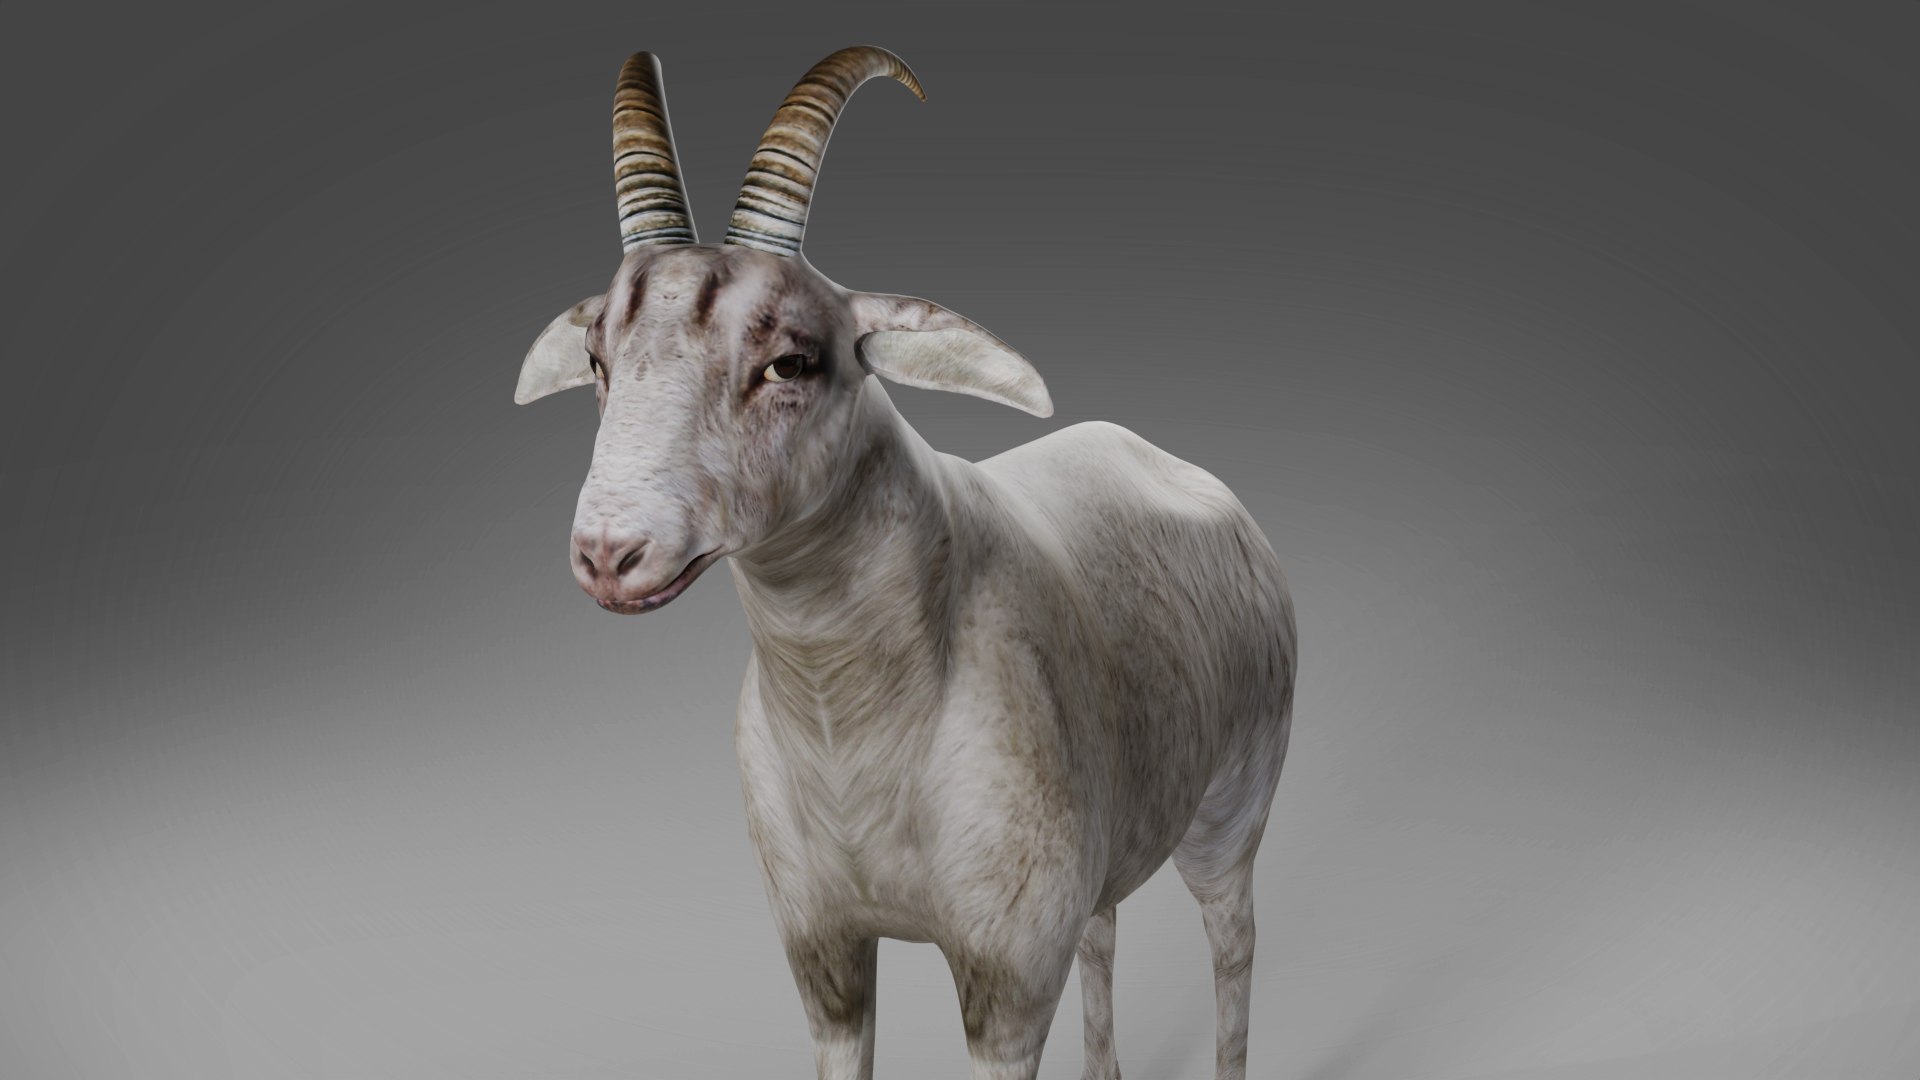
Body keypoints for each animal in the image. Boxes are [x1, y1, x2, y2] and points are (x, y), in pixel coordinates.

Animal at [514, 46, 1297, 1080]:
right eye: (599, 356)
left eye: (793, 361)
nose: (610, 553)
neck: (854, 736)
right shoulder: (825, 958)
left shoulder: (1008, 985)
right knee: (1105, 929)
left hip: (1229, 821)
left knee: (1233, 941)